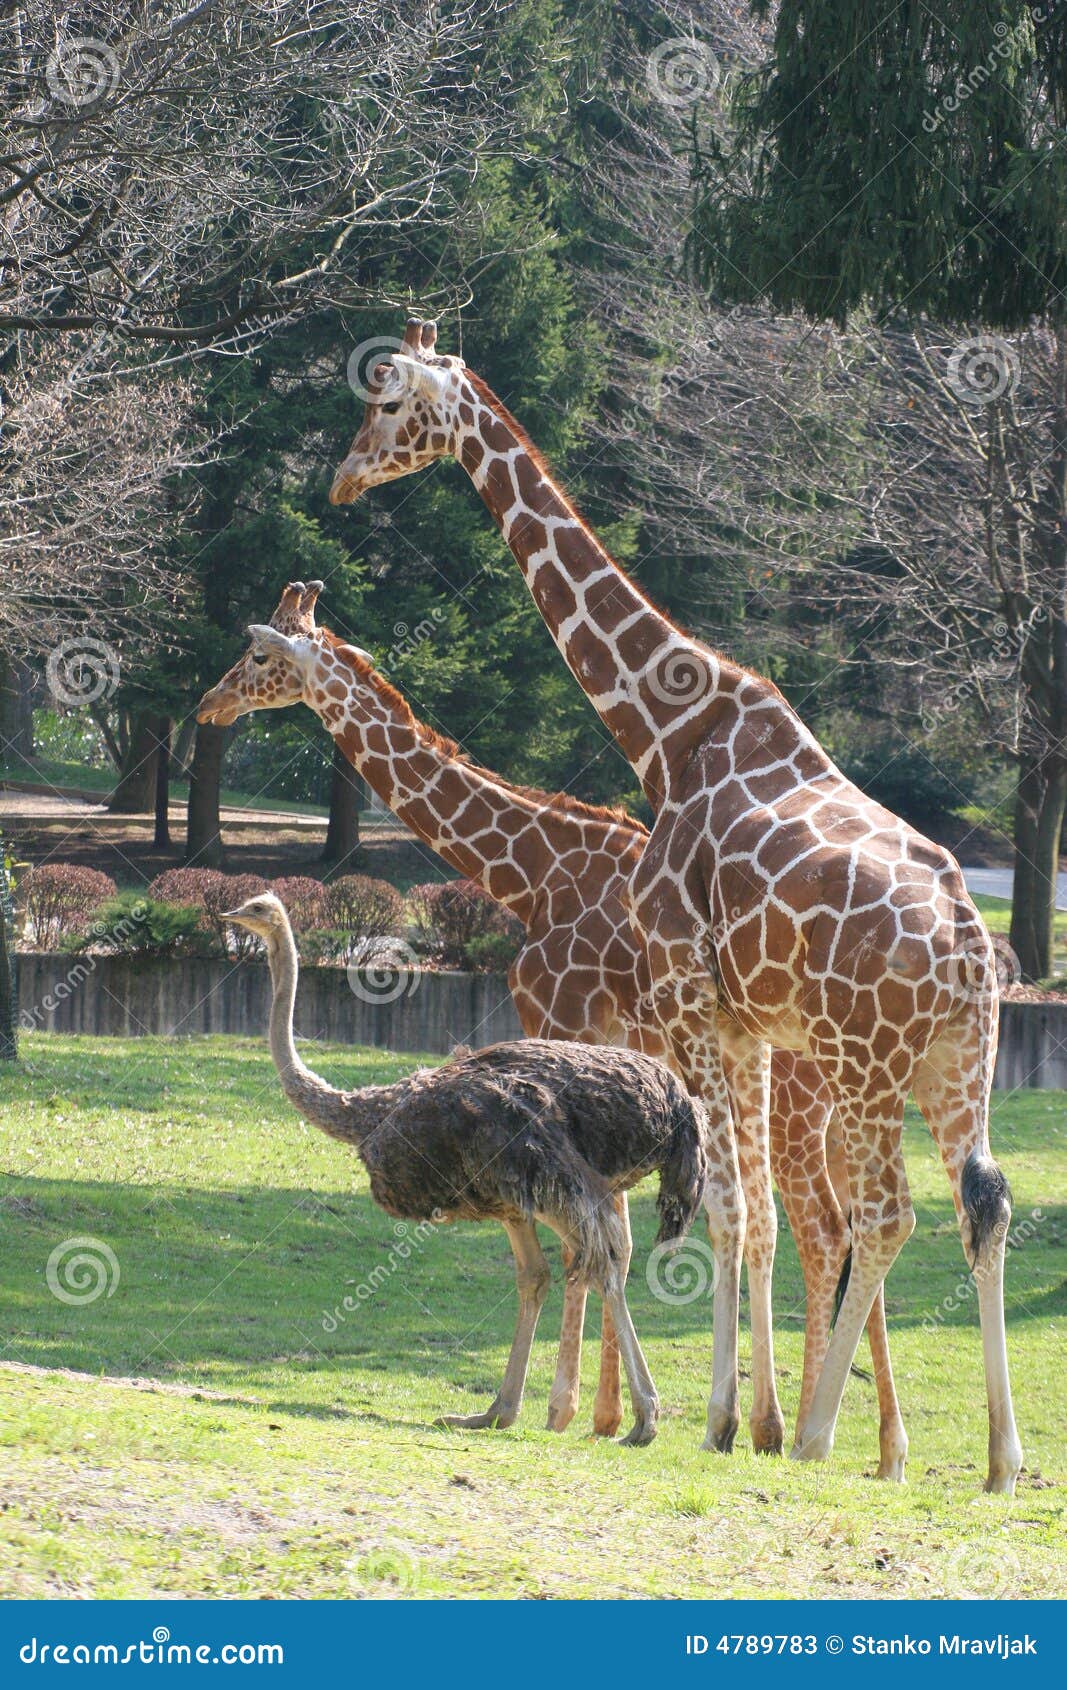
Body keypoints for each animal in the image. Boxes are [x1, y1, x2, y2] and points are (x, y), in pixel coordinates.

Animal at [197, 580, 907, 1477]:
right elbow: (609, 1240)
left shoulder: (566, 1028)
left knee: (813, 1228)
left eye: (259, 652)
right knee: (835, 1226)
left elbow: (594, 1245)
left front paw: (573, 1407)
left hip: (791, 1104)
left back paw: (790, 1427)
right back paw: (864, 1444)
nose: (208, 704)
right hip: (823, 1107)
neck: (532, 869)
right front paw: (600, 1410)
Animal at [327, 319, 1022, 1493]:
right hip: (950, 1066)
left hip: (861, 1064)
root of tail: (975, 949)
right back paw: (998, 1459)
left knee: (881, 1214)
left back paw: (830, 1435)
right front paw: (733, 1415)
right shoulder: (740, 1022)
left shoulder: (692, 996)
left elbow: (727, 1209)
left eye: (384, 405)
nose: (339, 479)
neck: (664, 734)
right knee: (981, 1203)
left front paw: (719, 1420)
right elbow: (747, 1217)